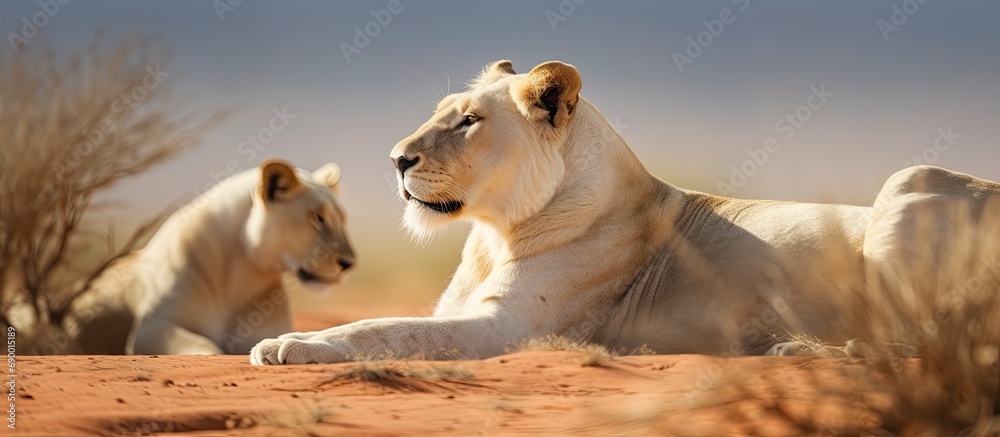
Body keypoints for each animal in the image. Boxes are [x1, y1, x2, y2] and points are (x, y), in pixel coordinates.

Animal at [68, 159, 355, 355]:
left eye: (342, 219)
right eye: (318, 218)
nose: (349, 264)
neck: (241, 275)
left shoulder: (268, 331)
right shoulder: (152, 328)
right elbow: (208, 348)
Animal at [250, 60, 1000, 365]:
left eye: (468, 121)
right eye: (442, 114)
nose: (395, 159)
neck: (493, 233)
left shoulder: (509, 329)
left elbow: (385, 329)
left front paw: (293, 344)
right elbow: (392, 324)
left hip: (909, 180)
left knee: (926, 341)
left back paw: (805, 349)